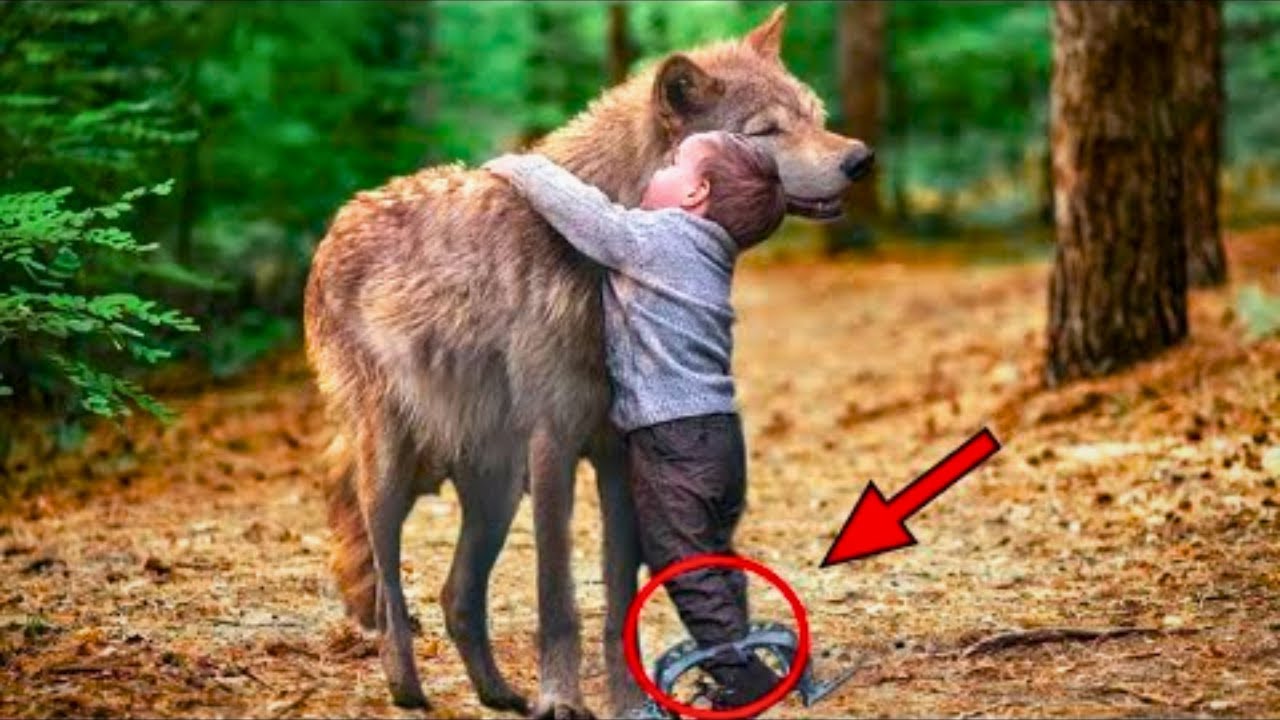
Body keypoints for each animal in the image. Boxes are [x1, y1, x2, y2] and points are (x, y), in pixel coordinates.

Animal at [303, 8, 872, 718]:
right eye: (768, 131)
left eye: (815, 116)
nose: (859, 159)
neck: (604, 260)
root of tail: (338, 220)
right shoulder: (554, 445)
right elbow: (558, 598)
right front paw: (561, 700)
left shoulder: (617, 454)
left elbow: (618, 598)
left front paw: (627, 700)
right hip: (394, 469)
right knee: (384, 576)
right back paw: (404, 684)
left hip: (493, 489)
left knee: (456, 594)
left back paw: (498, 694)